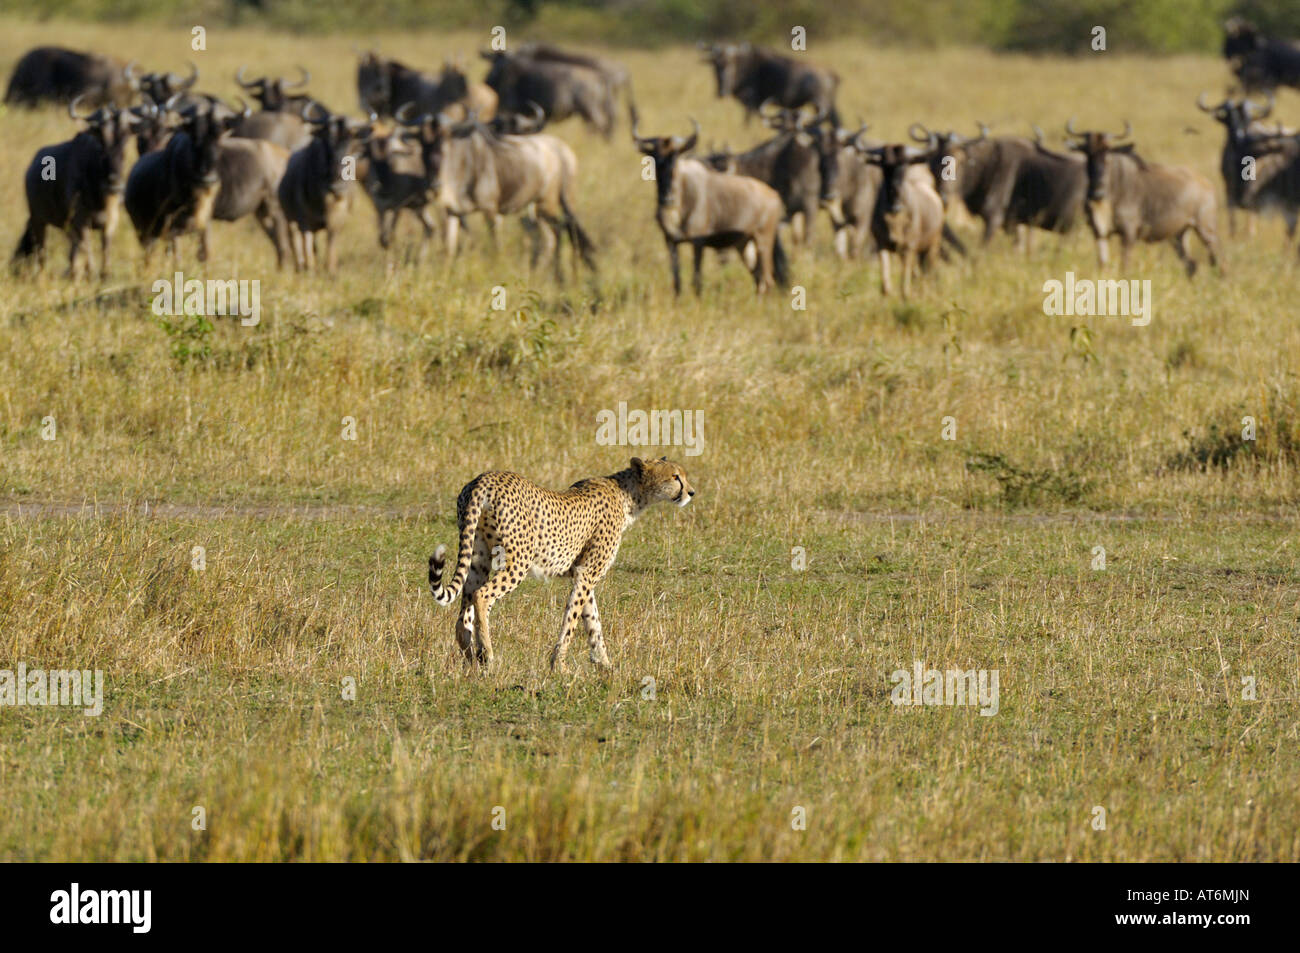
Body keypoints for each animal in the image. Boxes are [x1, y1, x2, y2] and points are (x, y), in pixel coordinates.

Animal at [428, 457, 695, 670]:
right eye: (675, 476)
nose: (691, 492)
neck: (628, 494)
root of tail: (484, 478)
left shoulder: (582, 575)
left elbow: (592, 621)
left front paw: (604, 664)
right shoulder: (587, 573)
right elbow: (572, 619)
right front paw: (560, 665)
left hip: (478, 558)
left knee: (464, 609)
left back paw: (470, 657)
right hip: (518, 561)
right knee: (482, 596)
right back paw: (487, 654)